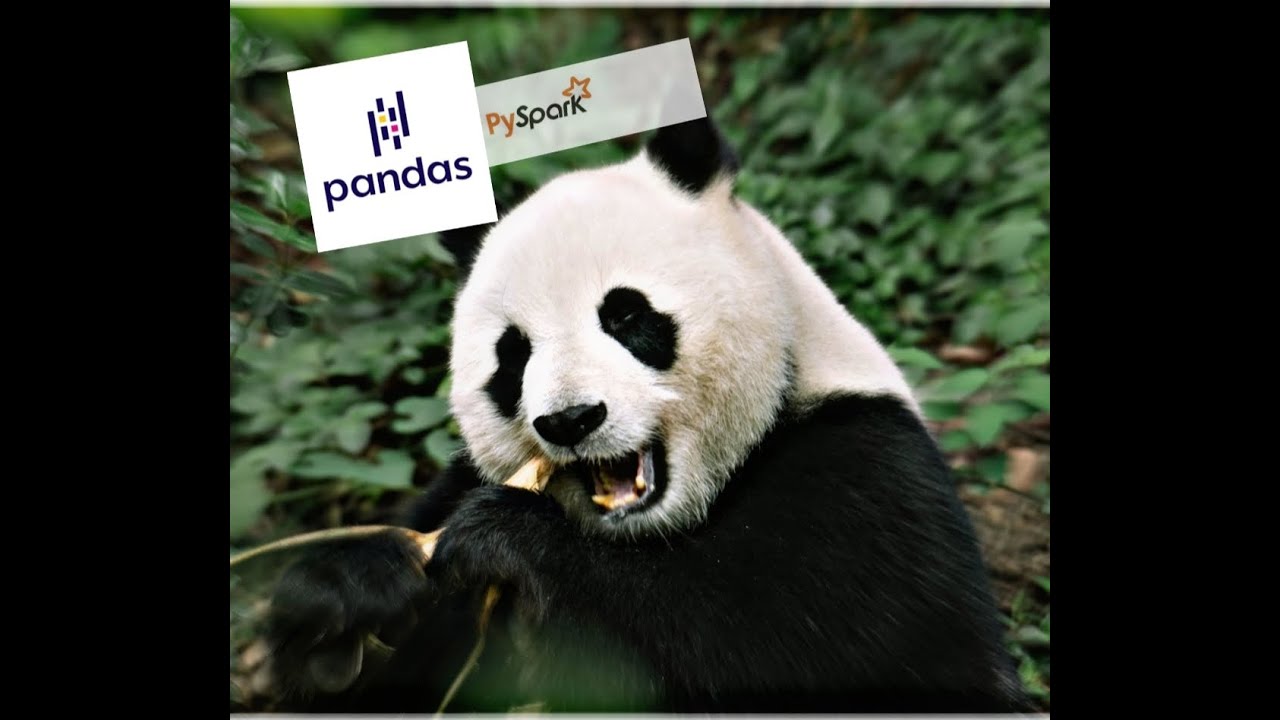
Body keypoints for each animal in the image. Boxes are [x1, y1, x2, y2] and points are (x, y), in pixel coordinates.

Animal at [265, 116, 1028, 714]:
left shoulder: (863, 481)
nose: (570, 420)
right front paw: (347, 606)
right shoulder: (455, 493)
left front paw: (513, 538)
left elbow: (804, 651)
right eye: (513, 355)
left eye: (627, 316)